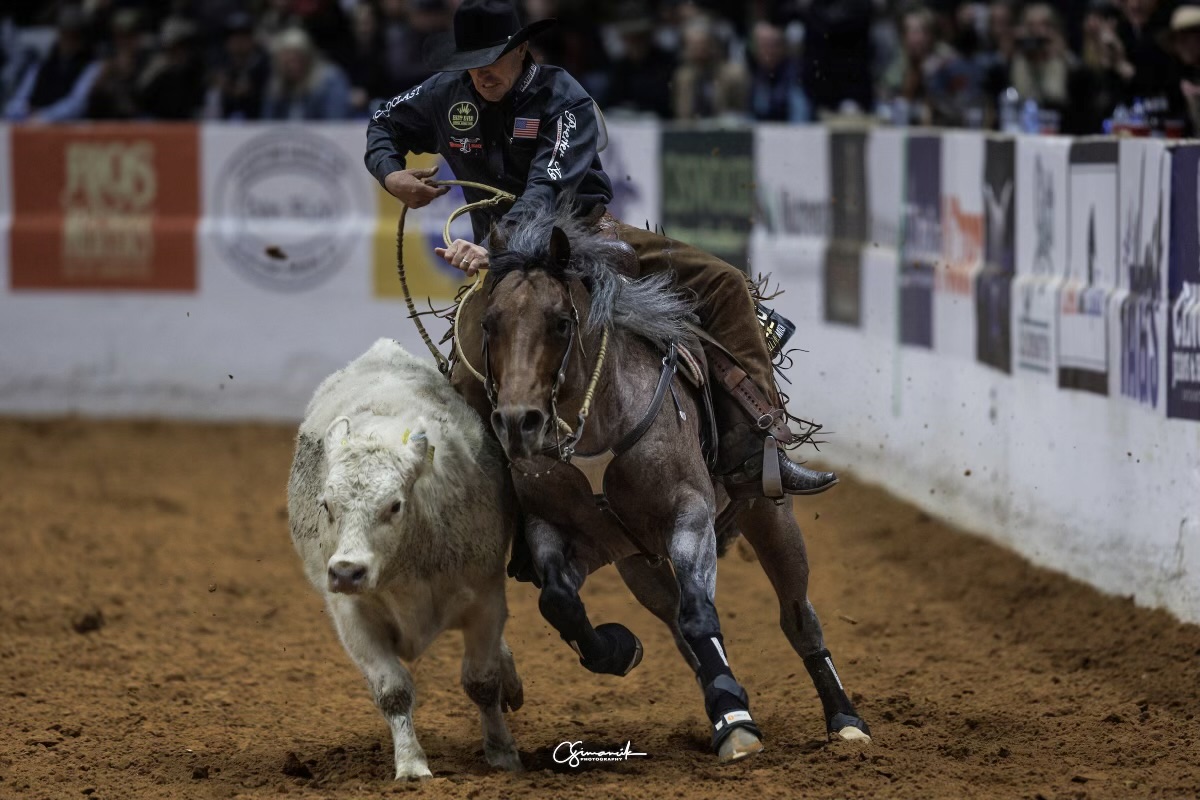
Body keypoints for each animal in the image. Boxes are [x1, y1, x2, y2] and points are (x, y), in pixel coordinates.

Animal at [463, 205, 871, 762]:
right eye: (489, 323)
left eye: (561, 322)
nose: (517, 422)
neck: (597, 422)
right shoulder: (559, 530)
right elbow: (560, 601)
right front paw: (623, 649)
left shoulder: (691, 515)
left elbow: (701, 613)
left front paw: (738, 723)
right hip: (639, 563)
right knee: (676, 624)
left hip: (768, 512)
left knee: (797, 614)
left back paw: (845, 721)